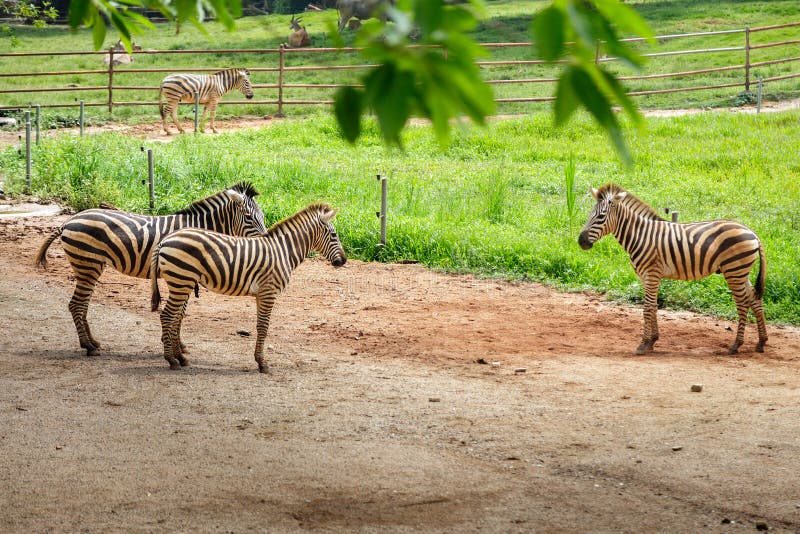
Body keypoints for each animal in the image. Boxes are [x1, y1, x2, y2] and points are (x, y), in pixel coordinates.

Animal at [35, 182, 267, 356]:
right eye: (249, 218)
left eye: (263, 217)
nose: (266, 240)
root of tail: (67, 221)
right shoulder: (184, 275)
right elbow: (179, 313)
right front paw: (176, 346)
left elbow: (179, 313)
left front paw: (175, 345)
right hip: (87, 265)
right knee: (76, 304)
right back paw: (89, 346)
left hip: (91, 266)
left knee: (82, 304)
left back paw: (92, 342)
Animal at [150, 203, 346, 373]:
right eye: (334, 235)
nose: (343, 261)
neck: (283, 251)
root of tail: (164, 241)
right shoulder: (269, 291)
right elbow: (264, 326)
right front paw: (262, 363)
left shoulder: (261, 294)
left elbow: (260, 326)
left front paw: (259, 360)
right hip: (181, 281)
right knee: (167, 316)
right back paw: (171, 360)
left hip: (182, 283)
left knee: (174, 317)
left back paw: (180, 358)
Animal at [578, 183, 767, 355]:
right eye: (590, 214)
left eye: (601, 216)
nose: (581, 242)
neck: (640, 235)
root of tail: (752, 232)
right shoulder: (645, 276)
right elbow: (653, 306)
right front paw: (652, 341)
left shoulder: (652, 273)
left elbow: (647, 307)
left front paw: (643, 344)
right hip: (741, 272)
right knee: (754, 300)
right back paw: (761, 342)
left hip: (734, 271)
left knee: (742, 303)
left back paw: (736, 345)